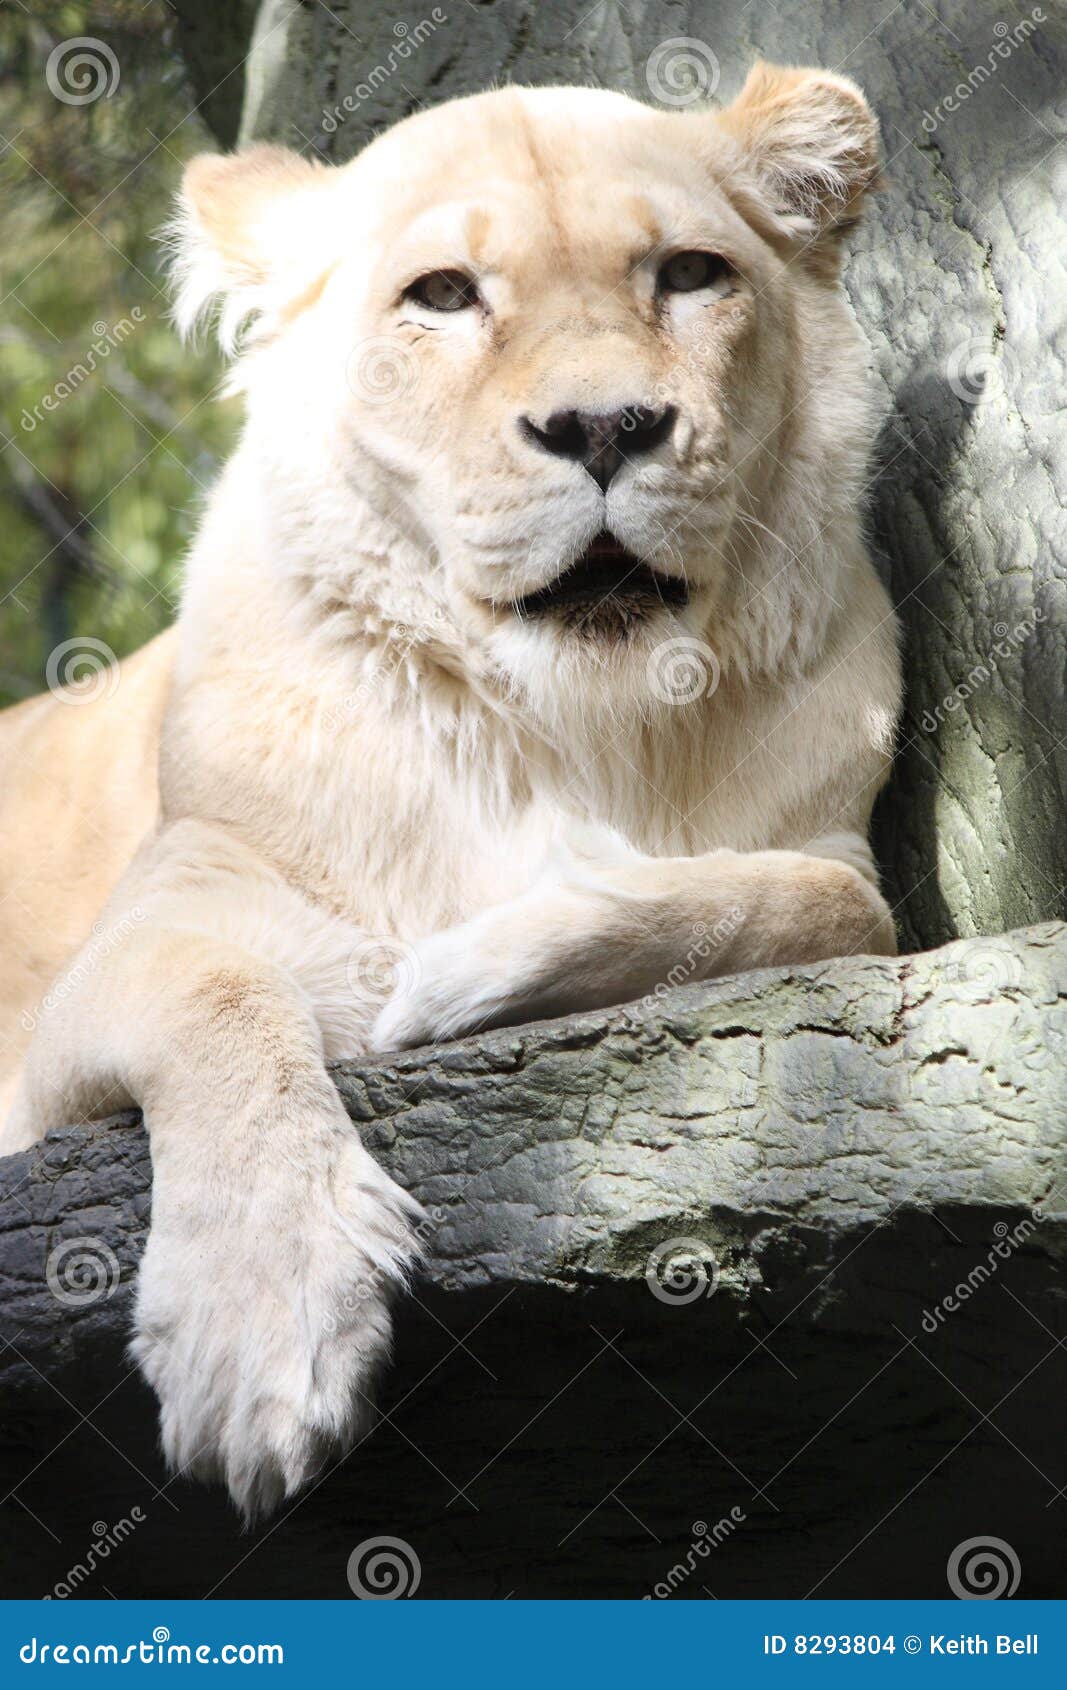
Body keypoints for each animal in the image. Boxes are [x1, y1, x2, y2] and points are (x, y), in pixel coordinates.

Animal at [0, 64, 901, 1515]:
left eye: (688, 274)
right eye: (441, 295)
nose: (604, 427)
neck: (568, 722)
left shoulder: (831, 841)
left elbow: (820, 905)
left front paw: (463, 973)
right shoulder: (85, 1013)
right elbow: (217, 989)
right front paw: (266, 1324)